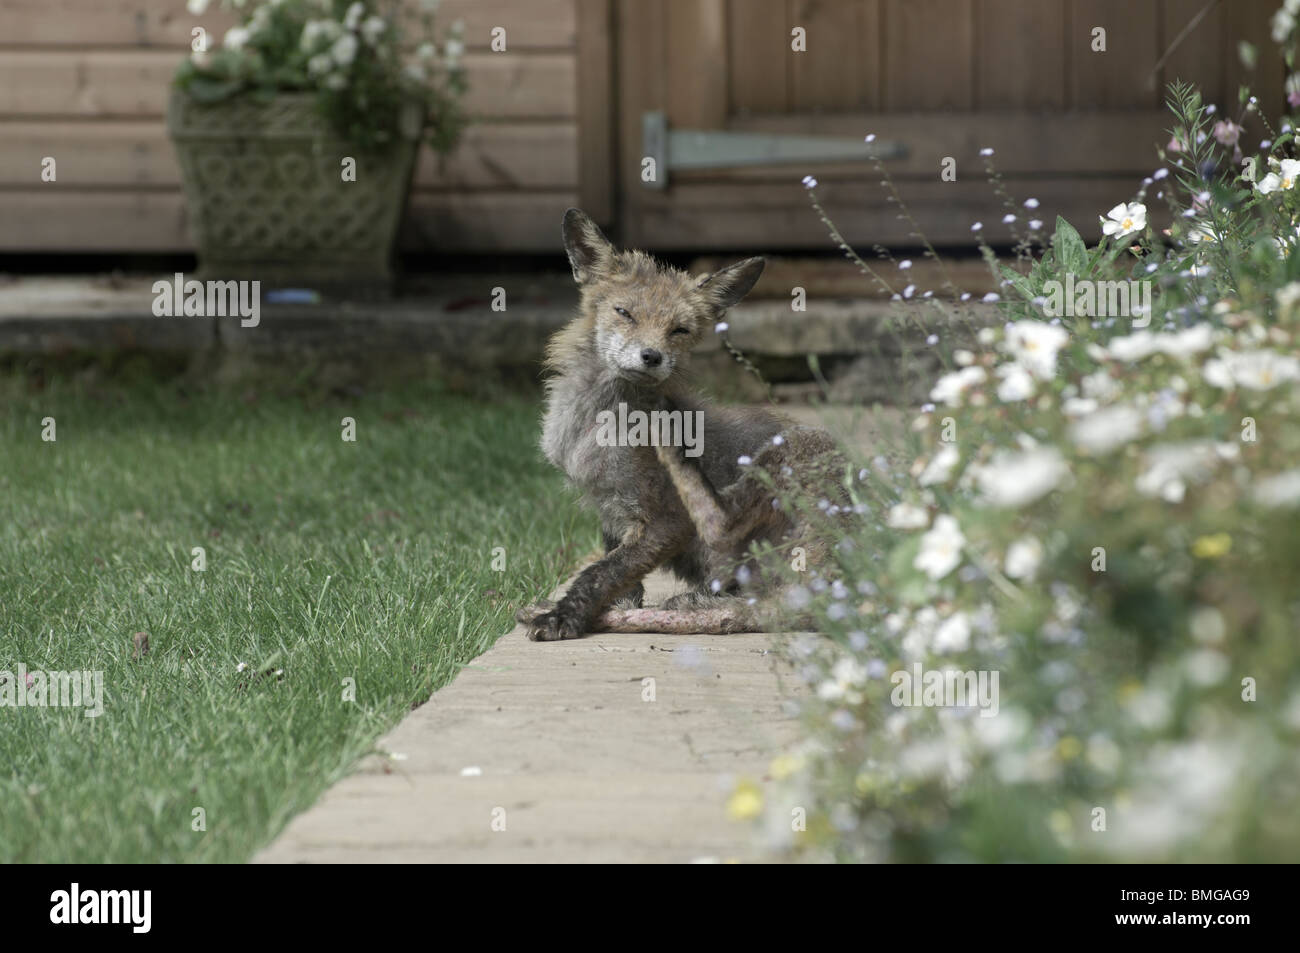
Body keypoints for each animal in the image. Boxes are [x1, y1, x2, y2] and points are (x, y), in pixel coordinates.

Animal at [516, 208, 849, 642]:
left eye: (679, 329)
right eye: (625, 313)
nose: (651, 357)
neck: (591, 428)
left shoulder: (667, 521)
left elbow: (601, 572)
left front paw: (565, 616)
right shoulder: (610, 509)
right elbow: (620, 580)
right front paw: (595, 611)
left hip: (799, 445)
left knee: (721, 522)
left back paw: (671, 437)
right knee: (717, 609)